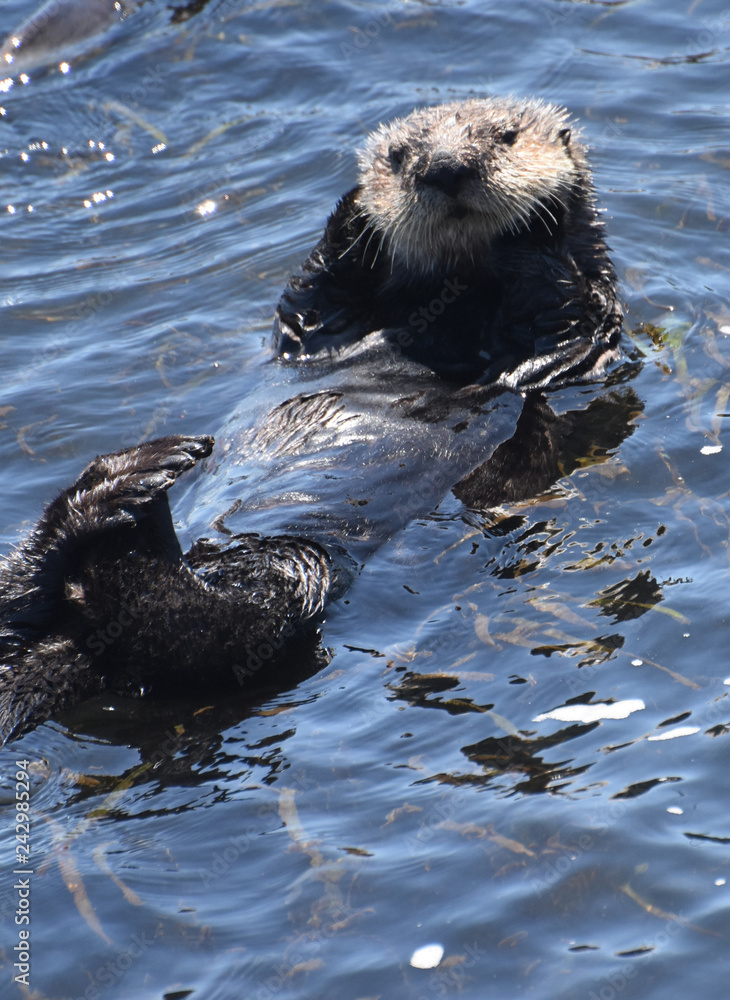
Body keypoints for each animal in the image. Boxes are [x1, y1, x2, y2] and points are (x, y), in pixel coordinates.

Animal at [274, 97, 623, 388]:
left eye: (508, 135)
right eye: (396, 156)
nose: (445, 168)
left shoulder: (594, 316)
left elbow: (567, 334)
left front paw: (537, 215)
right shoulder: (325, 328)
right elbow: (301, 320)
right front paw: (360, 206)